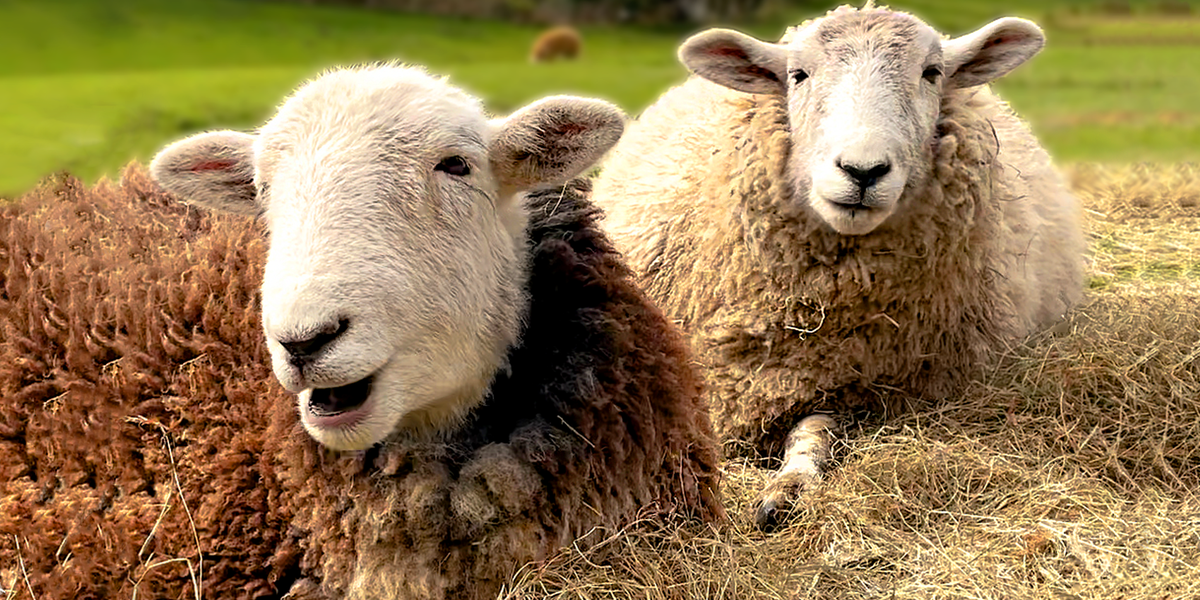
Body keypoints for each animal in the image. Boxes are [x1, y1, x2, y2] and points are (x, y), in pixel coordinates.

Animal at [590, 4, 1085, 530]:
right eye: (798, 75)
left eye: (932, 73)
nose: (862, 171)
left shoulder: (859, 392)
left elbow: (815, 433)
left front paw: (787, 488)